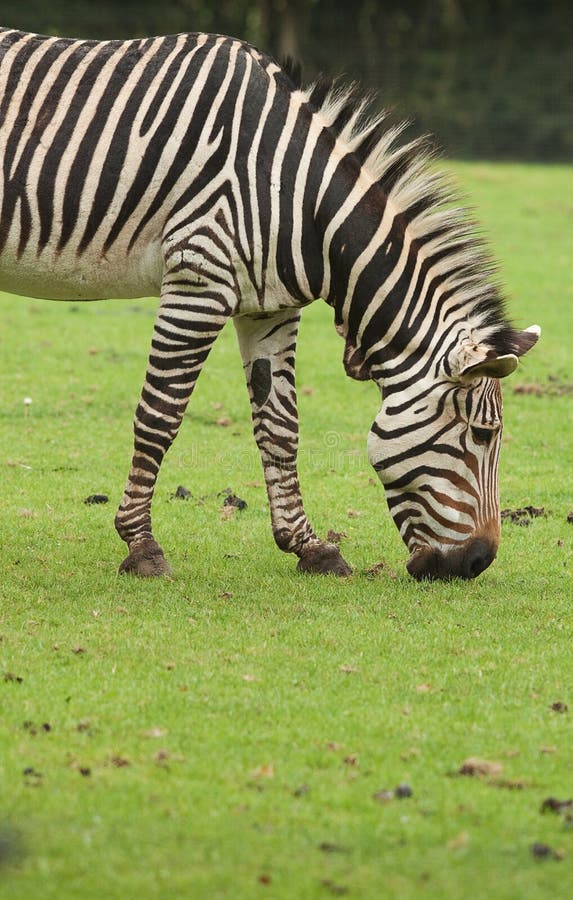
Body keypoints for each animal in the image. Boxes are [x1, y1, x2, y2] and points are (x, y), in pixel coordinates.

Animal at [0, 27, 539, 582]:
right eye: (482, 435)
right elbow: (159, 418)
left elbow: (280, 427)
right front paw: (141, 545)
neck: (298, 197)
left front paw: (310, 547)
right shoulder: (199, 280)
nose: (478, 562)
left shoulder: (268, 307)